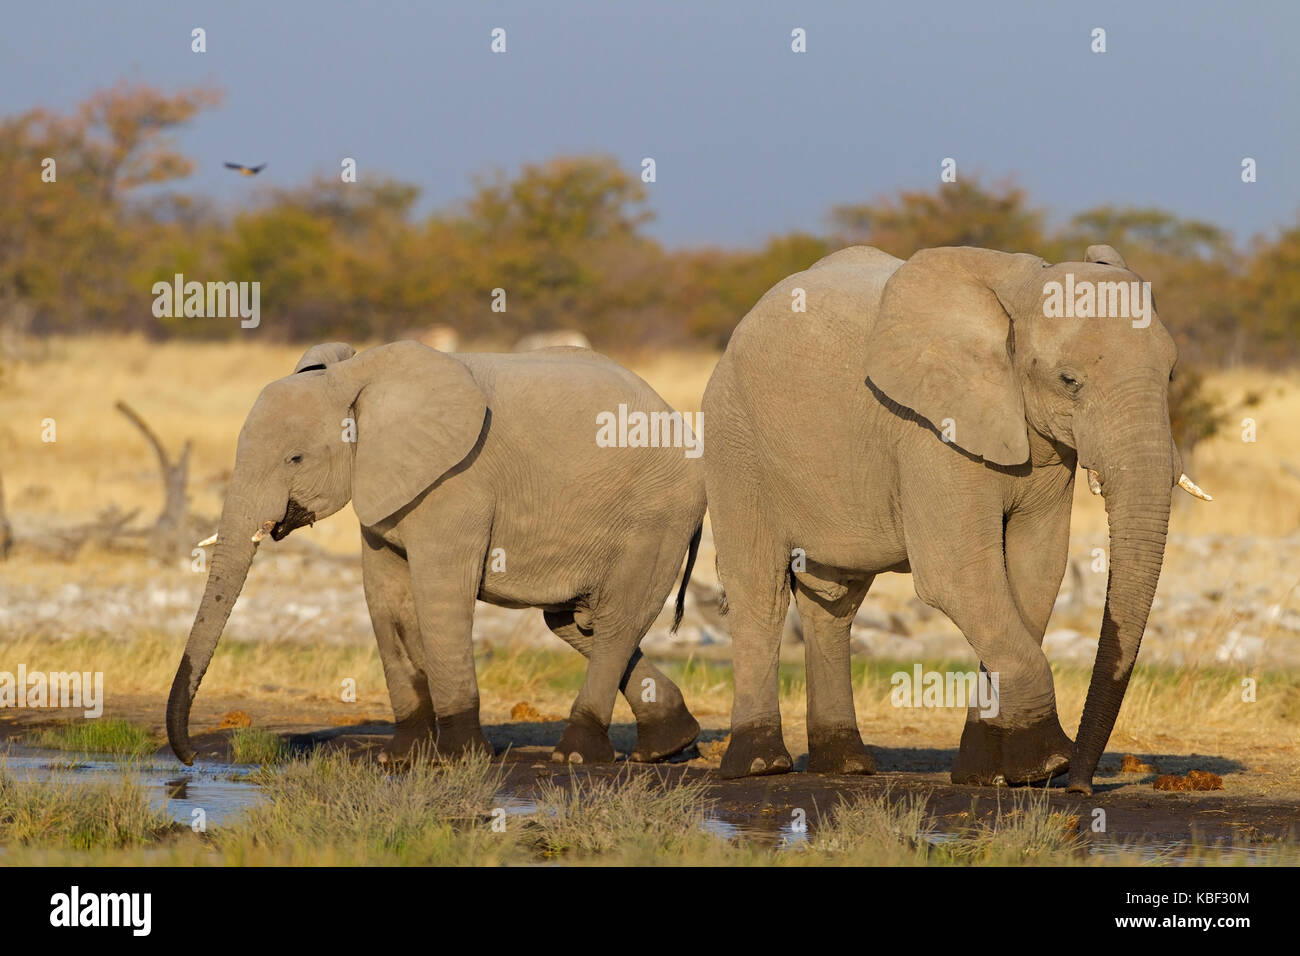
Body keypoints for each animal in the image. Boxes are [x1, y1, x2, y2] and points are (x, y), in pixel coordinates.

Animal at [167, 340, 706, 767]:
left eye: (295, 458)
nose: (191, 758)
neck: (356, 379)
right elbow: (387, 600)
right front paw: (401, 759)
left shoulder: (456, 484)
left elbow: (439, 599)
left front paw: (462, 758)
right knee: (574, 623)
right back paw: (671, 745)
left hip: (658, 517)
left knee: (614, 622)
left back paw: (576, 756)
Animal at [702, 244, 1210, 794]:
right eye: (1069, 381)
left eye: (1171, 375)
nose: (1082, 787)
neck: (1020, 292)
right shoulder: (931, 430)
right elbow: (958, 575)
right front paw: (1047, 764)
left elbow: (1033, 574)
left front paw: (991, 776)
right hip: (734, 440)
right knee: (760, 590)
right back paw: (759, 766)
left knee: (834, 602)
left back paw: (846, 766)